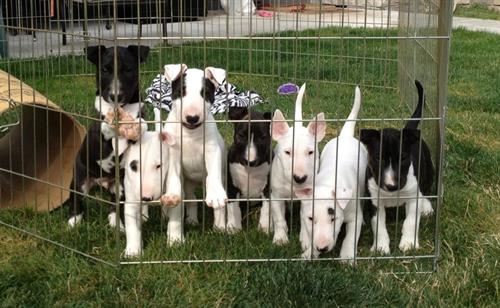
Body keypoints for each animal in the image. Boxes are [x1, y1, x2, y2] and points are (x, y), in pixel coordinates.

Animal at [68, 45, 150, 229]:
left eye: (128, 69)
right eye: (105, 70)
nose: (115, 96)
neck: (122, 108)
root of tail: (102, 181)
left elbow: (141, 124)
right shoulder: (98, 131)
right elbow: (104, 127)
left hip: (120, 185)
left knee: (115, 204)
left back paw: (116, 223)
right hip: (80, 179)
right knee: (76, 199)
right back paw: (73, 221)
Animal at [160, 64, 229, 243]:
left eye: (206, 93)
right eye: (180, 92)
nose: (192, 118)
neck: (190, 133)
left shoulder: (212, 149)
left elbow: (213, 174)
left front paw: (216, 195)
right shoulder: (173, 153)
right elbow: (174, 181)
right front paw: (175, 240)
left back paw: (220, 227)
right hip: (188, 183)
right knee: (190, 199)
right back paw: (188, 219)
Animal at [268, 83, 326, 244]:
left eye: (311, 152)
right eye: (287, 152)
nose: (300, 178)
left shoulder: (308, 197)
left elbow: (305, 218)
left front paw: (305, 240)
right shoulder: (276, 195)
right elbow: (279, 218)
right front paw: (280, 238)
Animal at [298, 85, 366, 262]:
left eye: (333, 219)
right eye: (311, 218)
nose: (321, 248)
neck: (330, 181)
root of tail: (345, 136)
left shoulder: (354, 215)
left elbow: (351, 236)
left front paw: (347, 256)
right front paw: (309, 253)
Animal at [360, 80, 434, 254]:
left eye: (403, 158)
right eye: (378, 158)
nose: (391, 186)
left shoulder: (413, 198)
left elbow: (411, 222)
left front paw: (409, 244)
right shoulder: (375, 200)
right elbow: (378, 226)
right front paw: (380, 247)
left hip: (429, 170)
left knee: (426, 189)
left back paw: (426, 206)